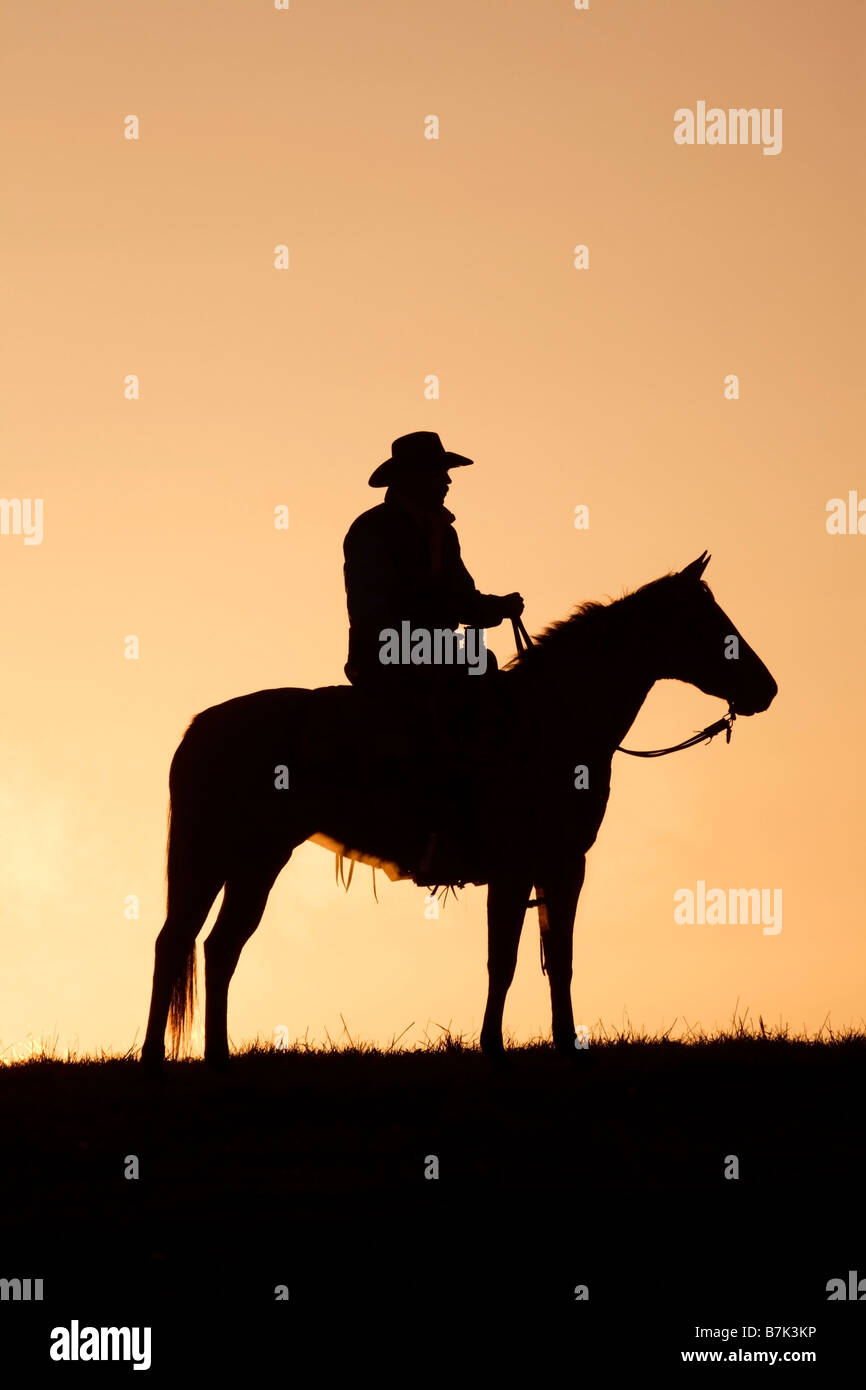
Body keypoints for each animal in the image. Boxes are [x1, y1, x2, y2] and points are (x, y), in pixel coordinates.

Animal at [140, 552, 777, 1071]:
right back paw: (152, 1060)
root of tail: (201, 726)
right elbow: (506, 959)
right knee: (176, 941)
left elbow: (559, 958)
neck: (547, 721)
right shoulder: (517, 869)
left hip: (257, 859)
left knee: (219, 946)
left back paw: (218, 1059)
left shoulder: (562, 865)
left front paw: (568, 1045)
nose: (765, 689)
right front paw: (493, 1048)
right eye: (708, 622)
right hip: (212, 856)